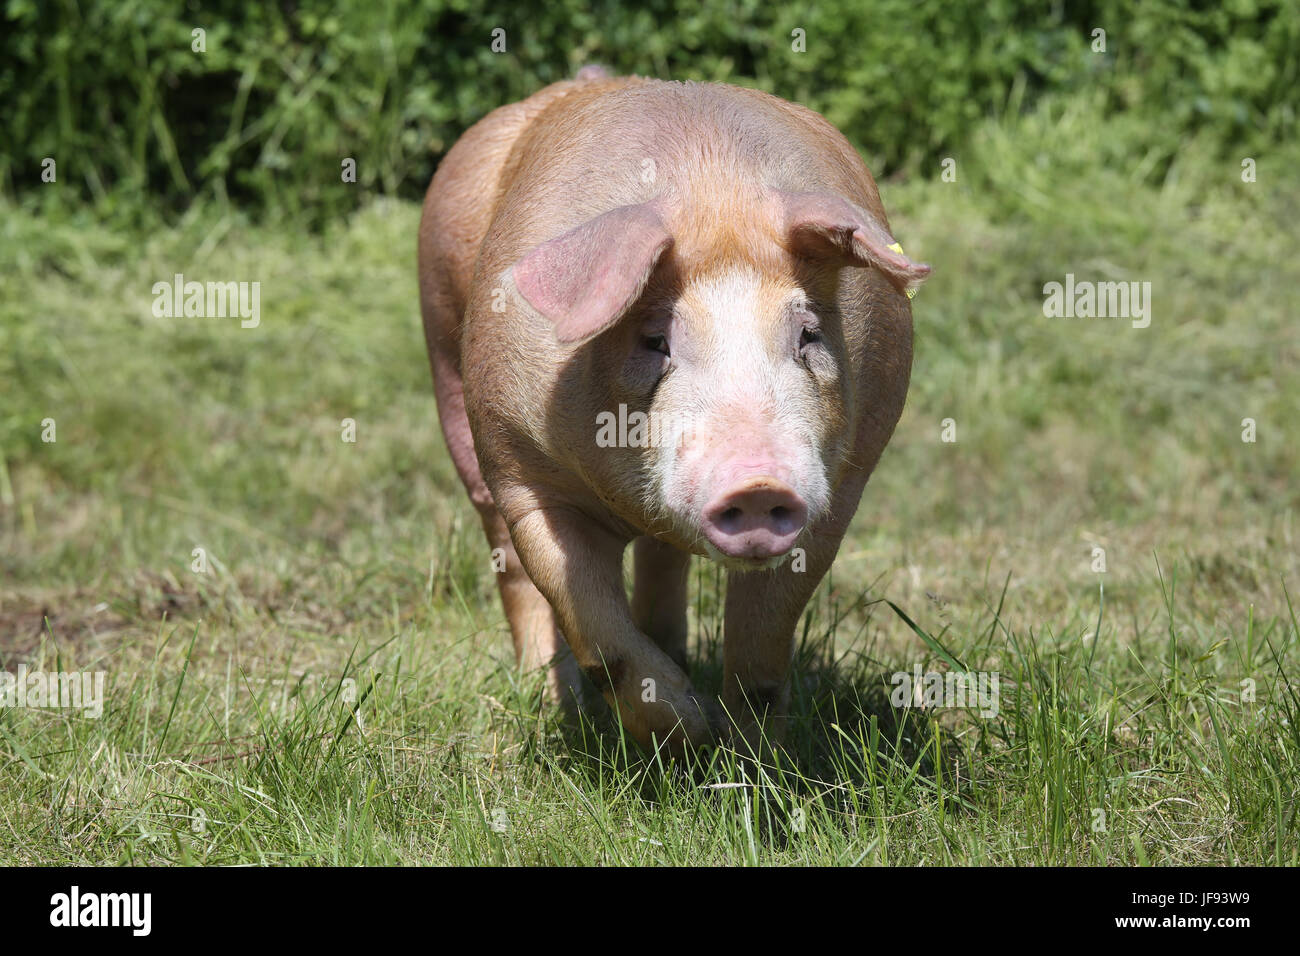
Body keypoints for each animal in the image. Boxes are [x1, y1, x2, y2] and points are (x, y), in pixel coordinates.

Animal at [418, 70, 929, 754]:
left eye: (809, 335)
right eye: (656, 340)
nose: (758, 481)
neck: (713, 187)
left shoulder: (841, 488)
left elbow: (763, 651)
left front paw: (747, 755)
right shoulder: (522, 471)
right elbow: (596, 633)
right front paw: (687, 733)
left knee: (665, 559)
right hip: (449, 370)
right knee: (507, 558)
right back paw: (542, 691)